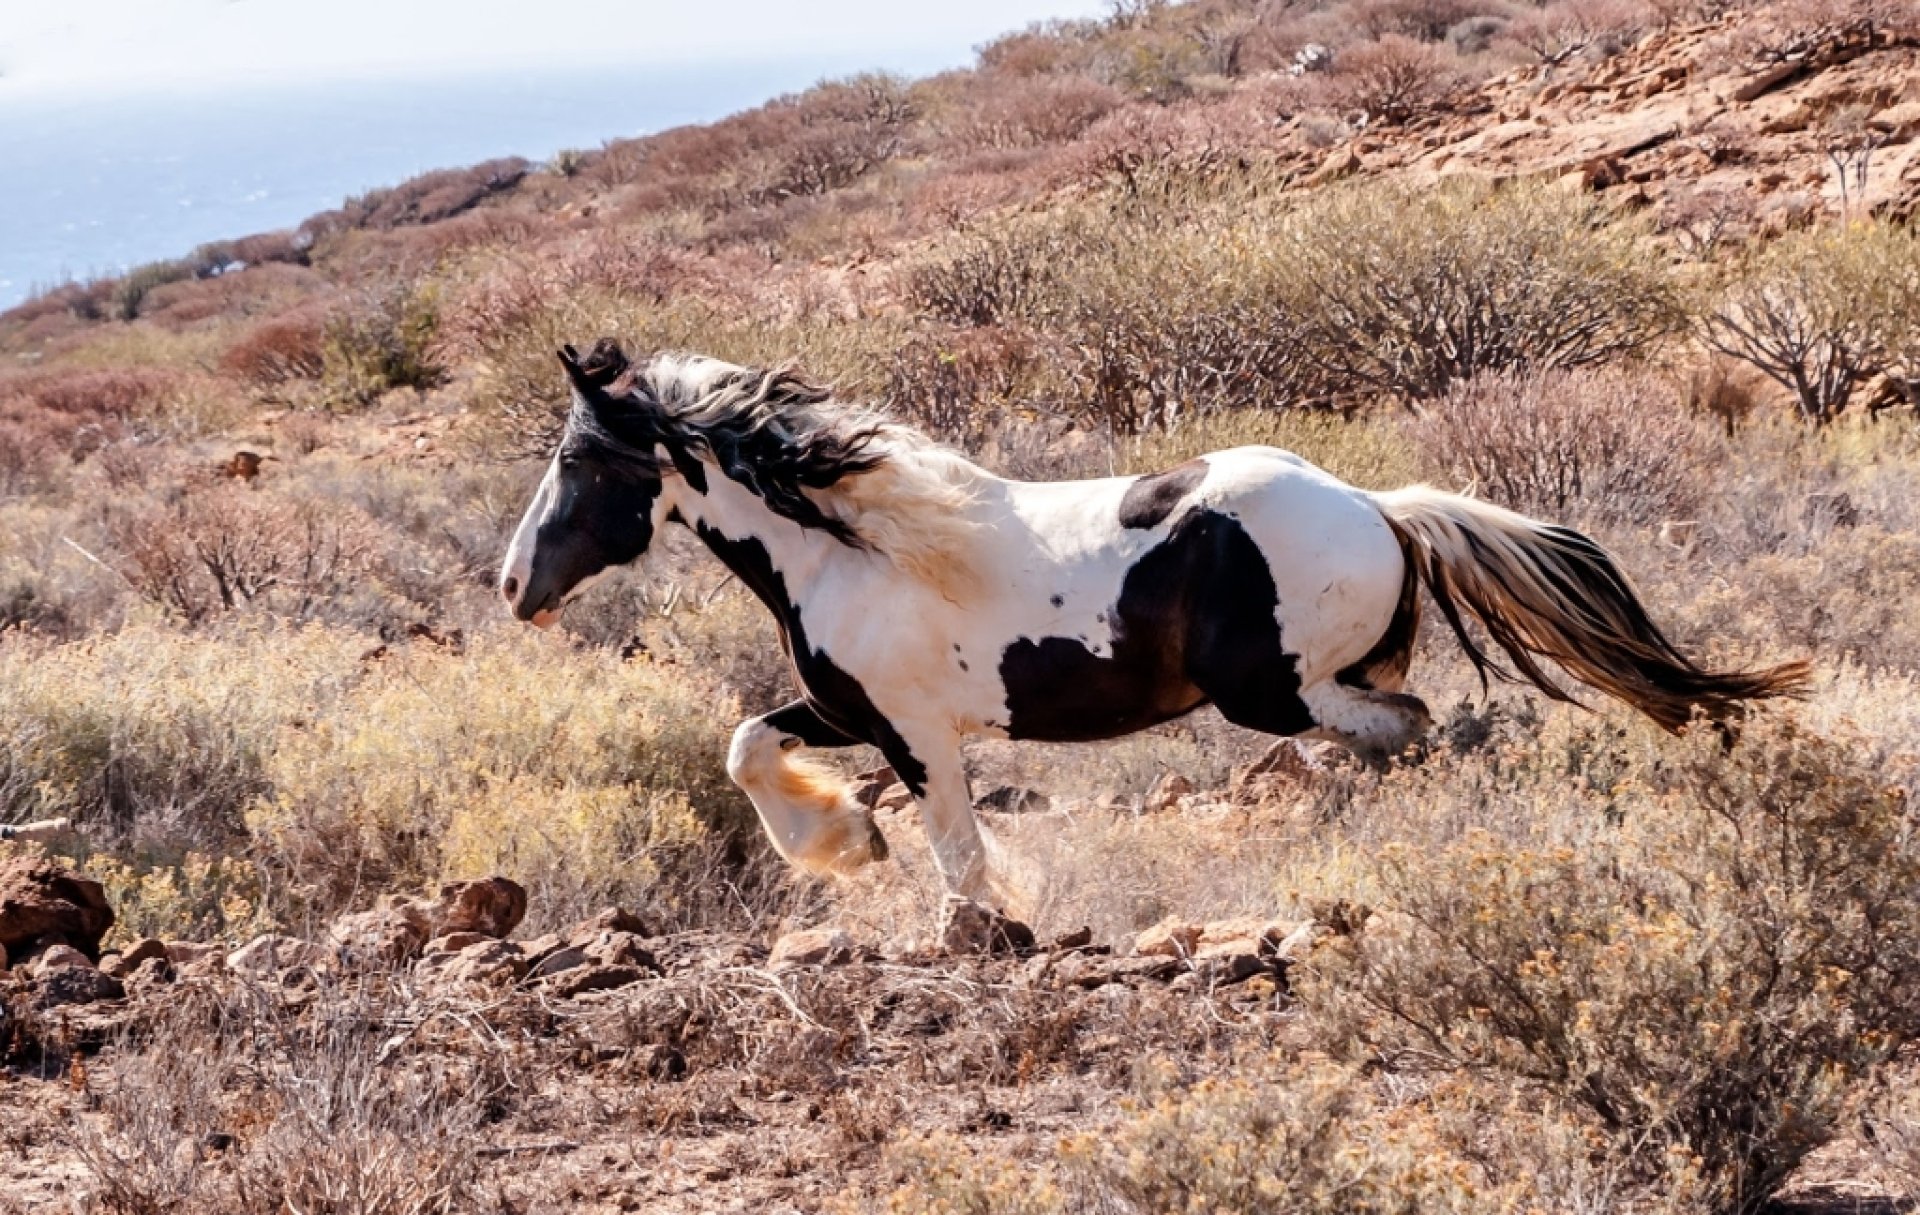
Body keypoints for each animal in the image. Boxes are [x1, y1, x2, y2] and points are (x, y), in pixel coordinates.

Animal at [500, 338, 1810, 907]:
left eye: (579, 461)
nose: (515, 586)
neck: (849, 546)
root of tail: (1382, 509)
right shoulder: (847, 711)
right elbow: (746, 744)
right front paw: (844, 844)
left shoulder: (916, 735)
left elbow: (961, 854)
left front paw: (965, 916)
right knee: (1406, 730)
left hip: (1274, 690)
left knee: (1410, 727)